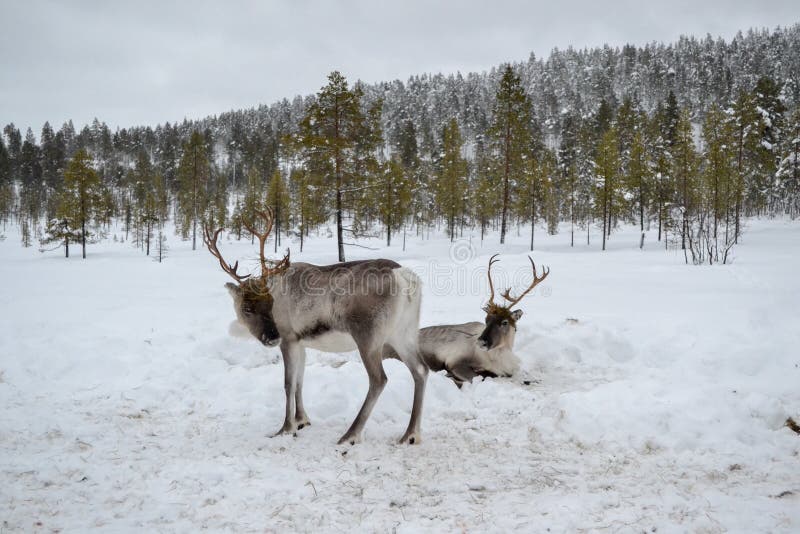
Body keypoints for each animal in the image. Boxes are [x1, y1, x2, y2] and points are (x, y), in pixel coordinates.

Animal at [204, 208, 427, 445]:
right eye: (247, 308)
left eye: (270, 304)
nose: (272, 337)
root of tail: (404, 277)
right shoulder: (301, 342)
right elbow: (300, 381)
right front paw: (302, 420)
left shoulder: (288, 338)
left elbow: (288, 383)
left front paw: (286, 428)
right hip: (404, 333)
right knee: (421, 370)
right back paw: (410, 434)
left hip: (368, 338)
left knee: (379, 379)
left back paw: (350, 434)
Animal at [416, 254, 549, 387]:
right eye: (486, 320)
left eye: (504, 322)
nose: (481, 342)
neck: (499, 356)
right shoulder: (455, 362)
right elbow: (482, 376)